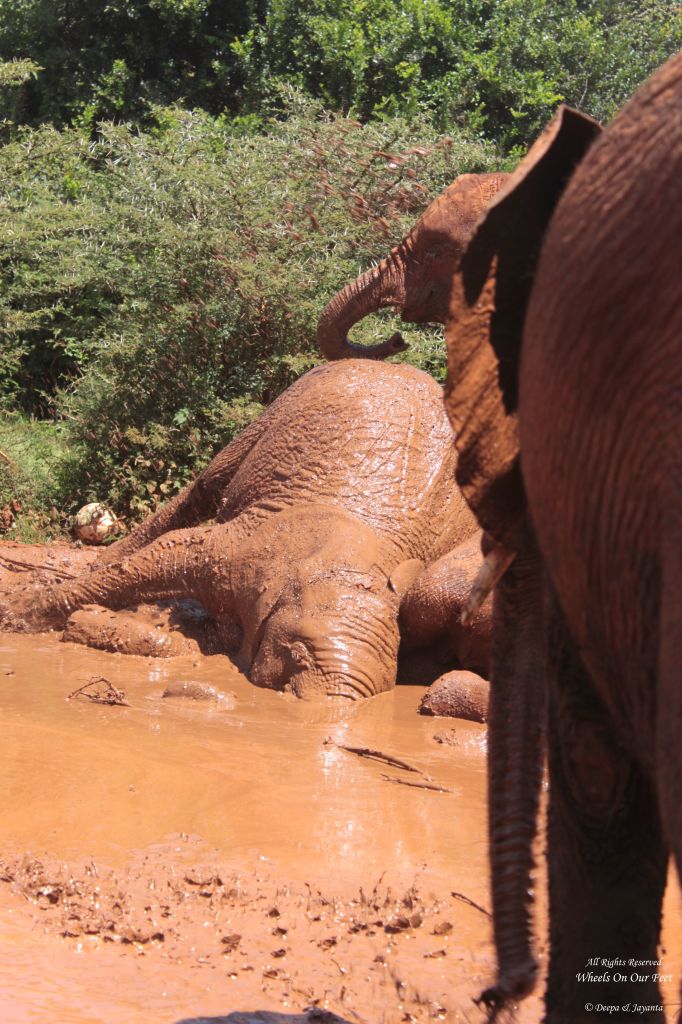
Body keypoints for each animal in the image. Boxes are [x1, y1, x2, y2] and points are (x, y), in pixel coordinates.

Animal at [0, 359, 489, 703]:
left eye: (387, 683)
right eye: (297, 654)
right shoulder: (239, 549)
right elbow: (167, 553)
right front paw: (16, 615)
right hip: (282, 405)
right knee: (204, 486)